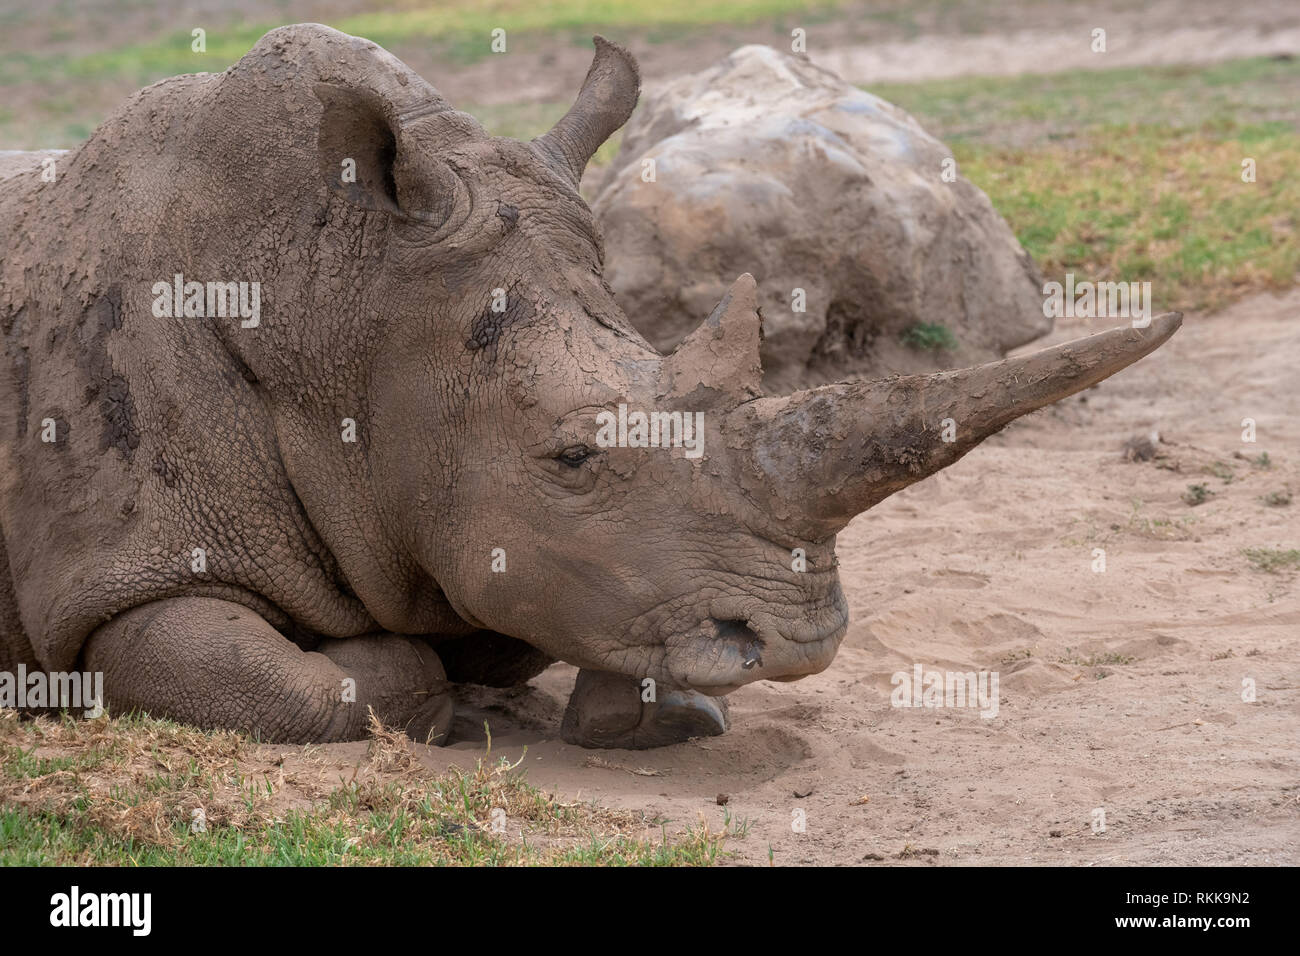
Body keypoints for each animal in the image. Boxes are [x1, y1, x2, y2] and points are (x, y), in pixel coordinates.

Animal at [0, 24, 1180, 748]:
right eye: (571, 456)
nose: (794, 641)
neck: (337, 309)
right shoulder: (117, 579)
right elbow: (285, 680)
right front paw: (419, 679)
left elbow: (545, 593)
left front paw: (655, 710)